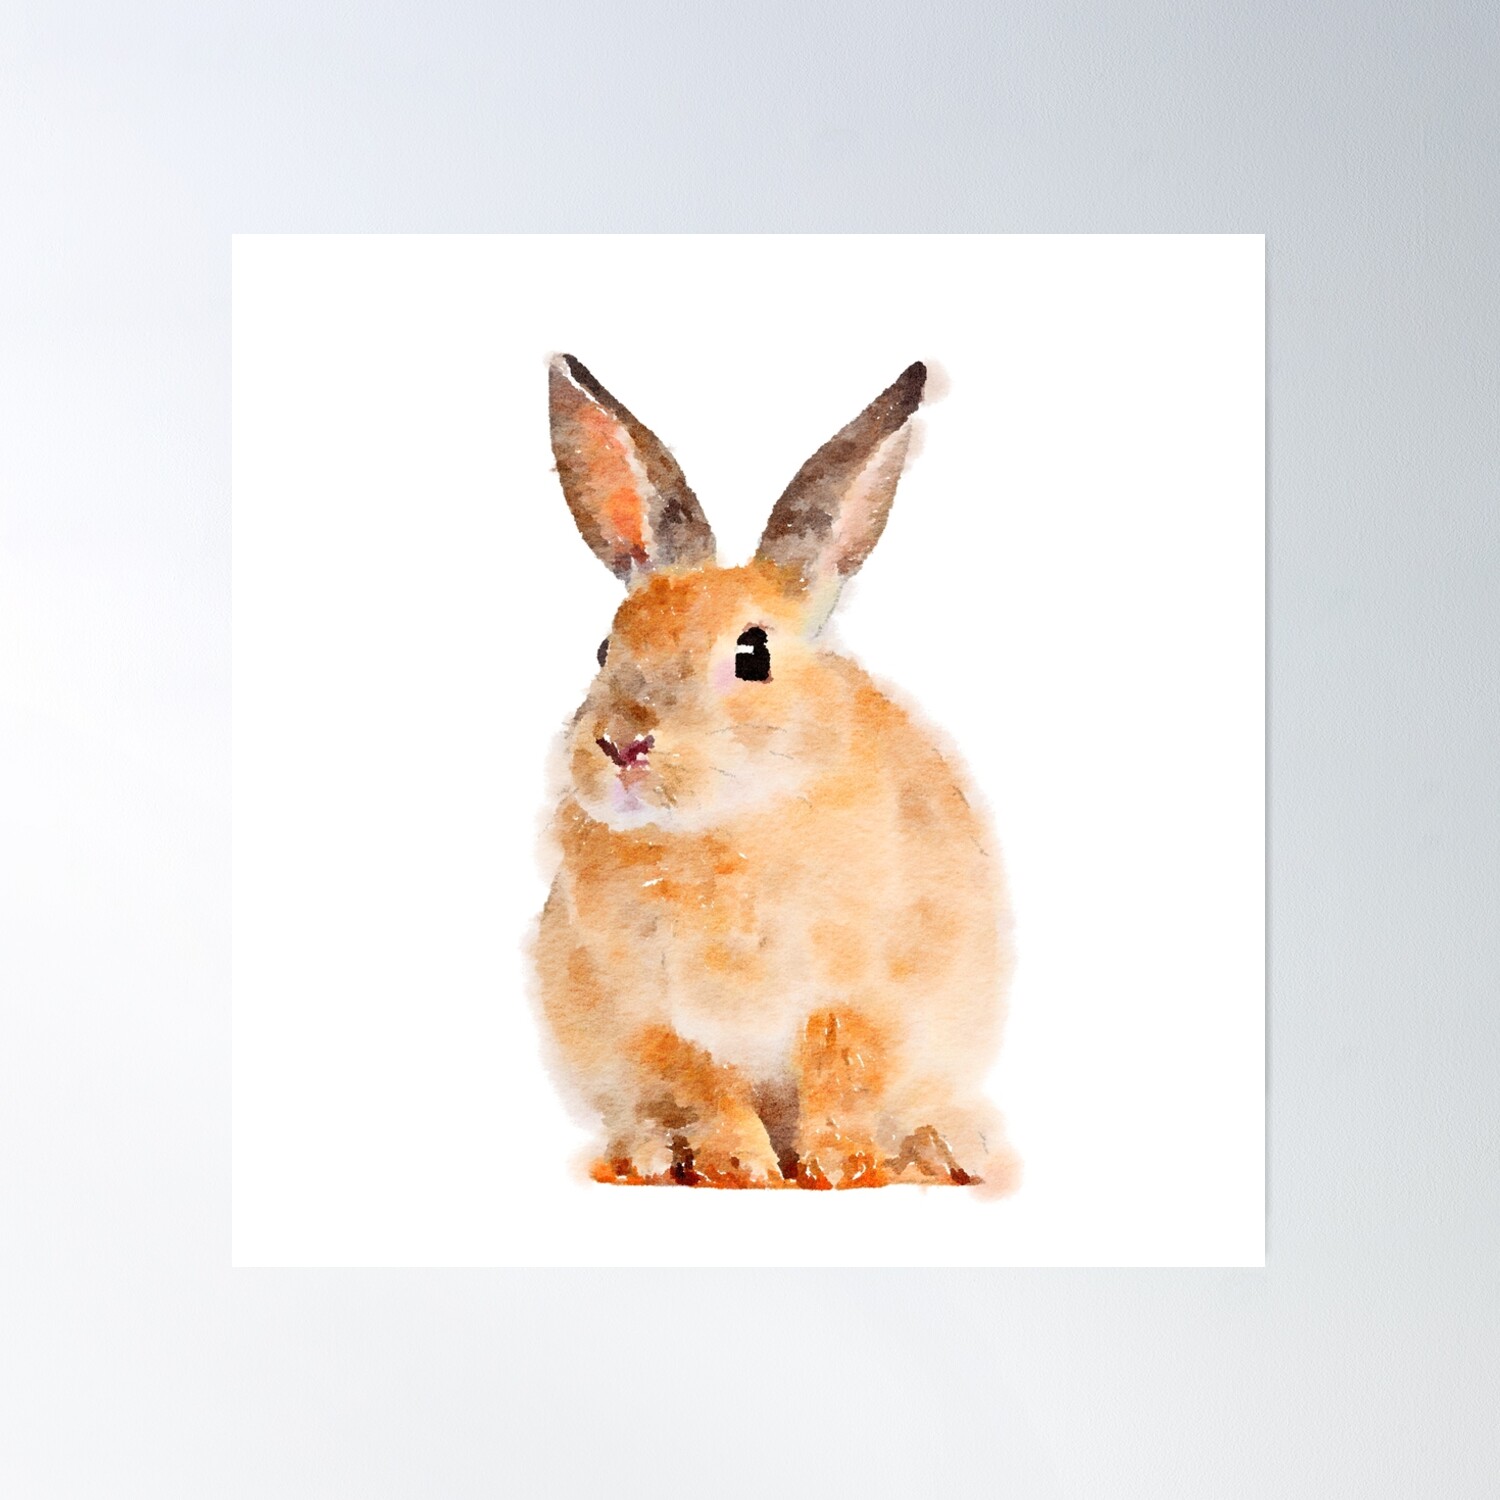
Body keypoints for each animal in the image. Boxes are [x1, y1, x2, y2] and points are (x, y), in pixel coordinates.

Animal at [533, 353, 1018, 1191]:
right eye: (603, 650)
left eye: (751, 653)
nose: (623, 745)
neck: (726, 827)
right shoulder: (661, 1015)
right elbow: (707, 1085)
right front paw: (740, 1166)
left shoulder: (854, 994)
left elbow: (838, 1069)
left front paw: (840, 1165)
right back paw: (647, 1155)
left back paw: (946, 1148)